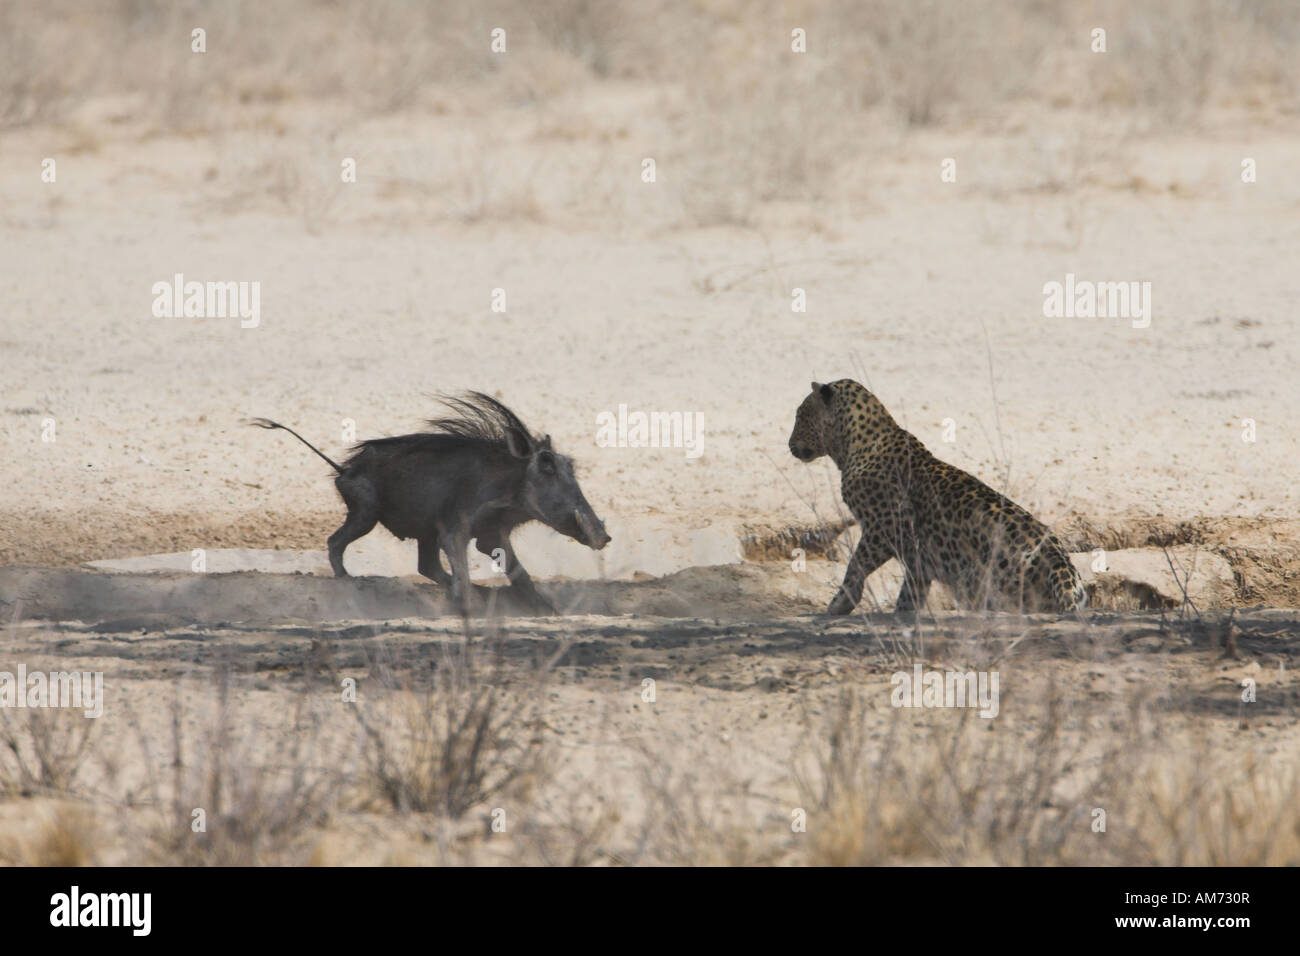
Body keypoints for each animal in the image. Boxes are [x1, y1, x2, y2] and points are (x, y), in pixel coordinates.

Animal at [788, 379, 1086, 615]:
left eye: (801, 415)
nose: (789, 445)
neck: (851, 445)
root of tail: (1062, 566)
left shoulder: (881, 528)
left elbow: (855, 566)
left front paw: (839, 604)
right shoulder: (917, 554)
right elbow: (912, 588)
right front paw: (903, 611)